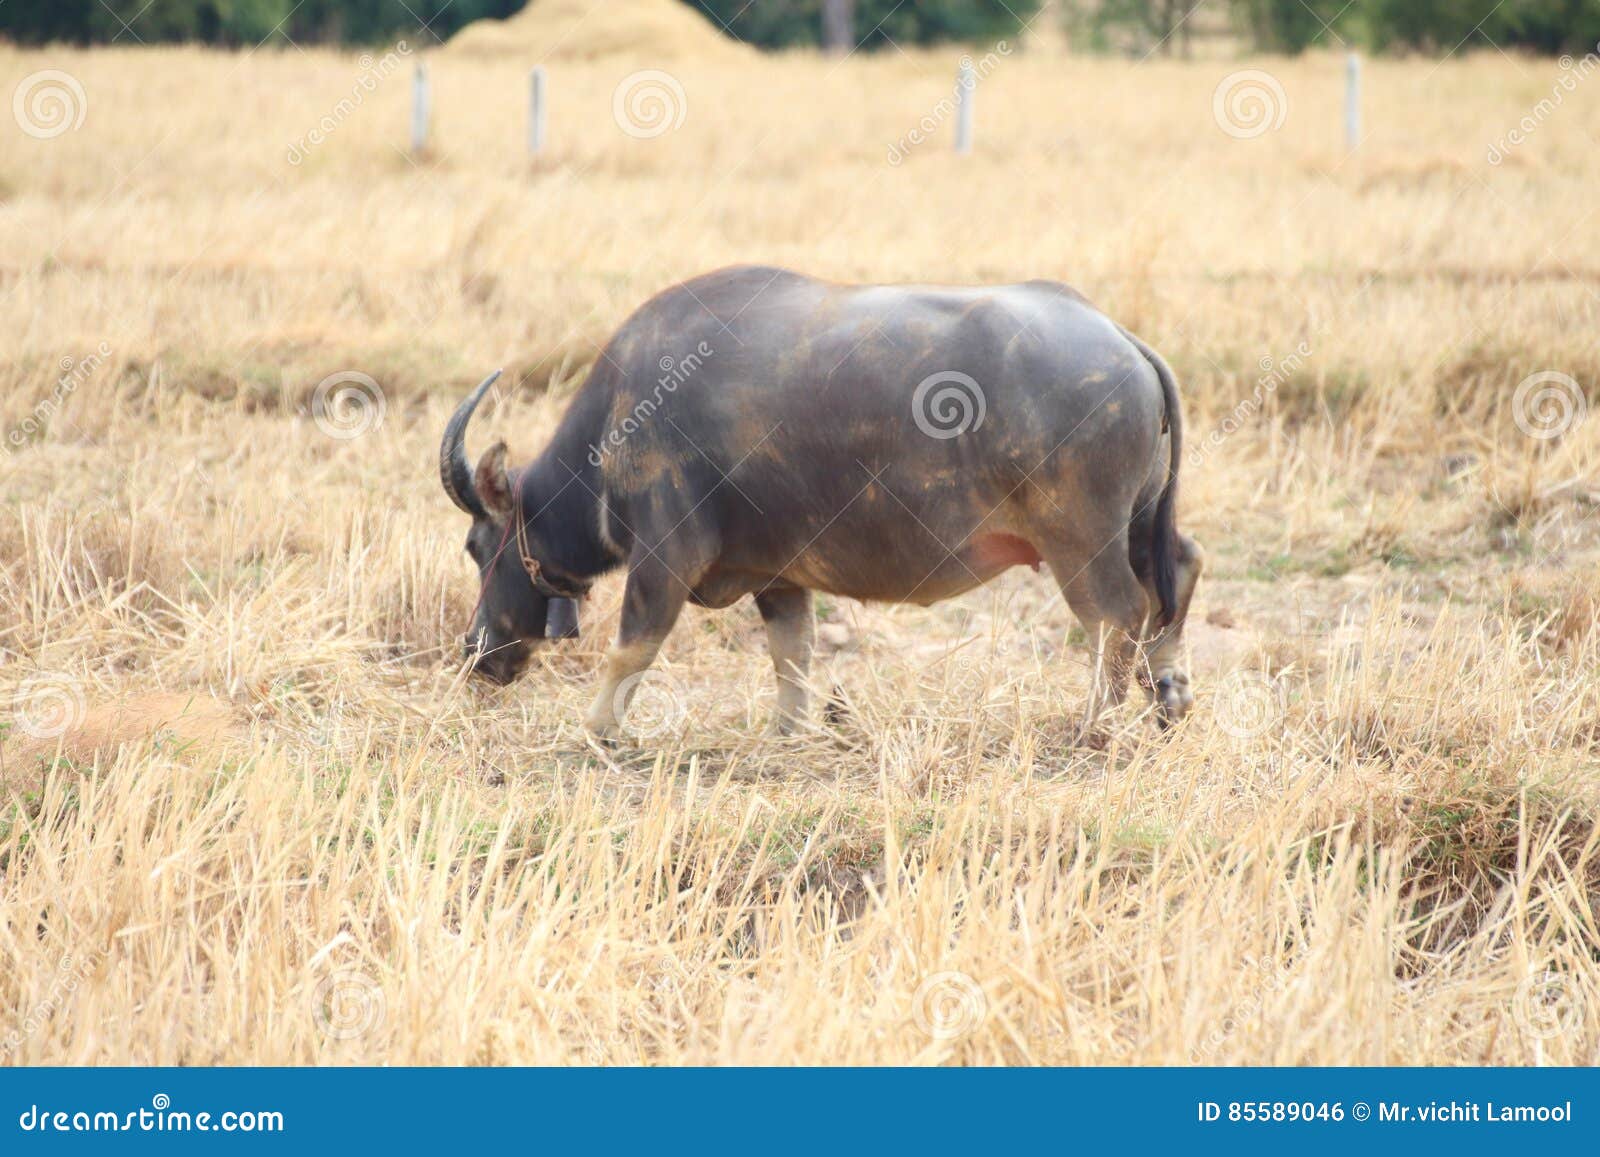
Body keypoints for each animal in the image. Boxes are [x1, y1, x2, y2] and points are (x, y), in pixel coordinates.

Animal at [440, 265, 1202, 742]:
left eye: (478, 547)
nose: (476, 653)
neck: (617, 420)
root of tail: (1118, 339)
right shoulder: (777, 575)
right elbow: (793, 653)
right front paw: (789, 727)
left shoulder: (665, 556)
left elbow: (633, 647)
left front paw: (596, 727)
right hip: (1141, 523)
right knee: (1180, 570)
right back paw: (1168, 691)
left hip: (1080, 540)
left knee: (1115, 614)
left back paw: (1094, 724)